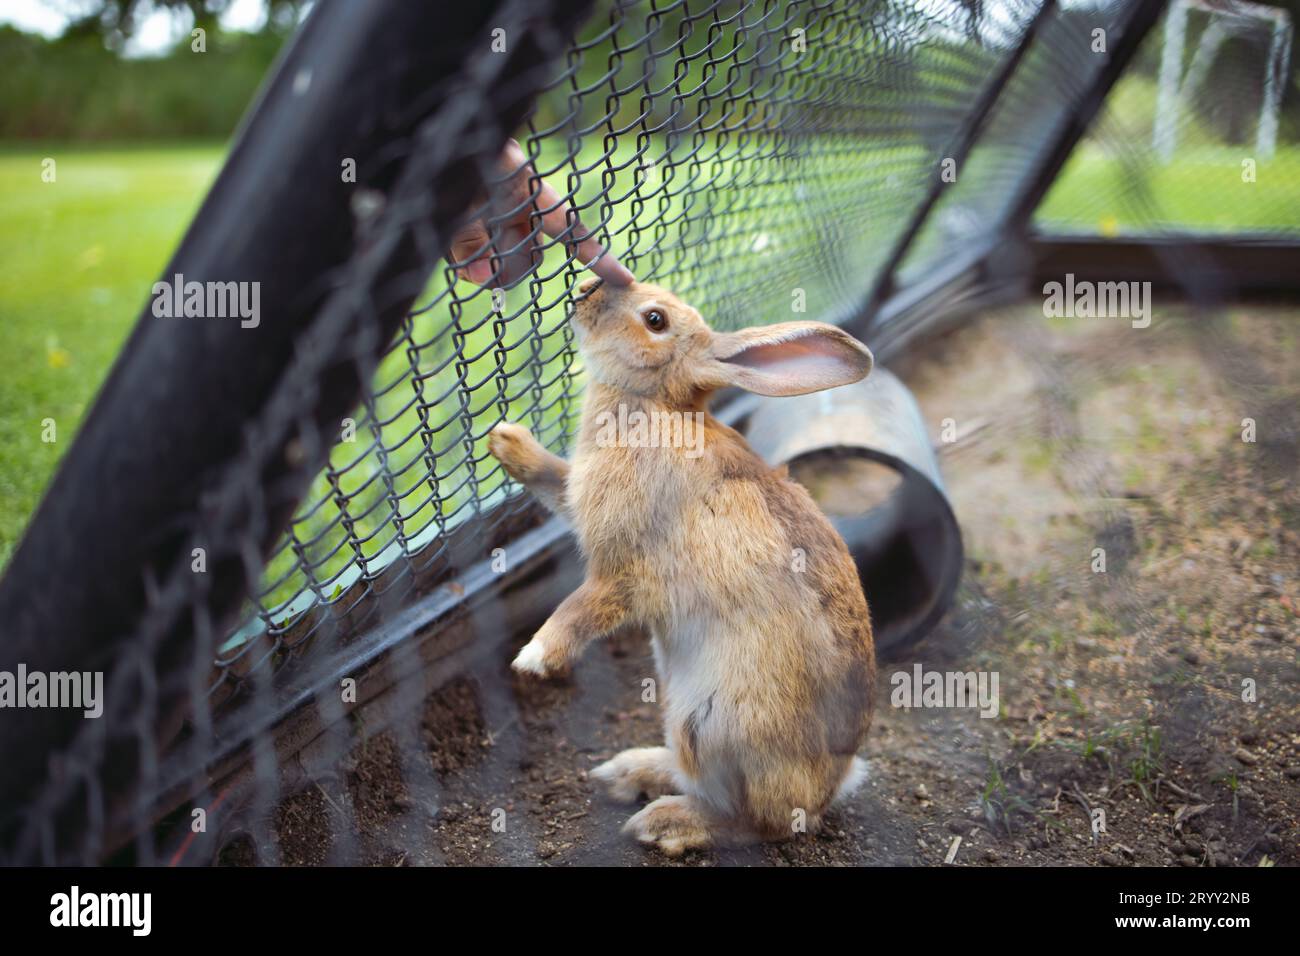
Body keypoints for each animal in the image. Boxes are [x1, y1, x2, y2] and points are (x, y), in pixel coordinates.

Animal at [487, 277, 876, 855]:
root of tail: (831, 787)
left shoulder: (624, 572)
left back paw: (665, 822)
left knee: (758, 821)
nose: (586, 288)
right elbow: (554, 479)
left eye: (655, 320)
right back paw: (630, 774)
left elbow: (581, 608)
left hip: (709, 723)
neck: (656, 405)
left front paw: (534, 658)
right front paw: (506, 441)